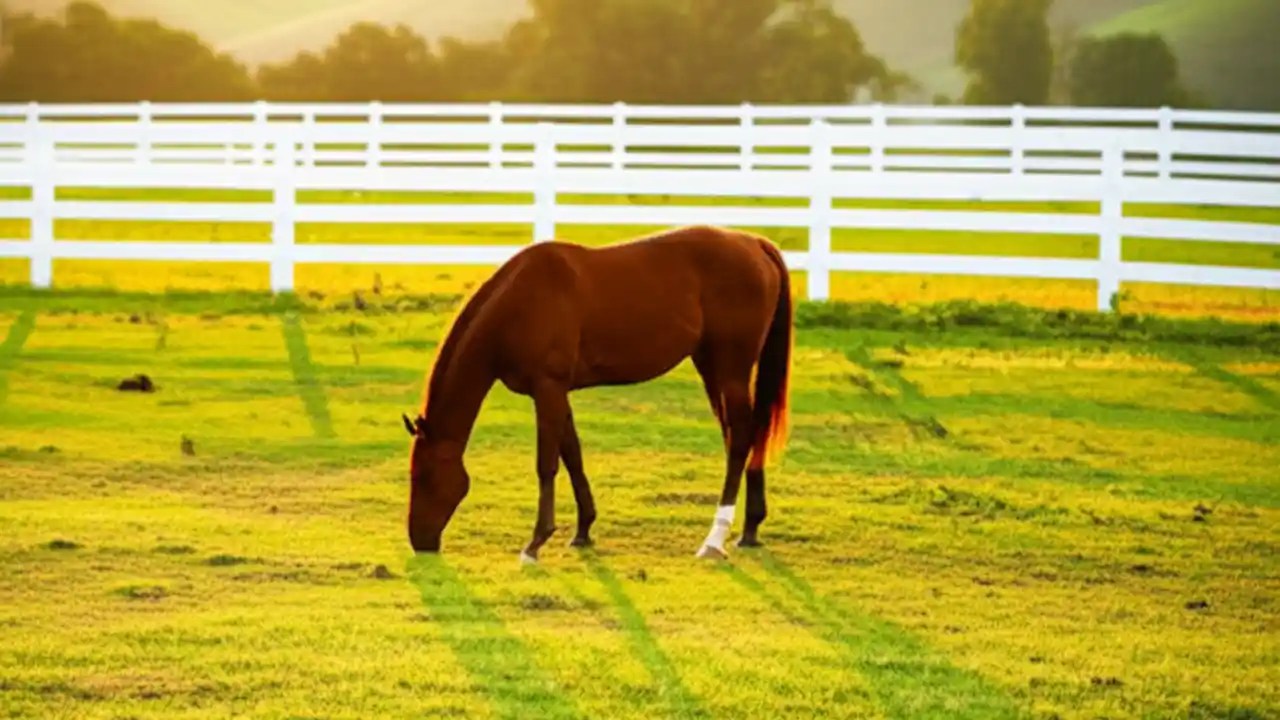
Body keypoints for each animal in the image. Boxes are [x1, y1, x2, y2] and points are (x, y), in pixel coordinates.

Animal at [400, 224, 793, 563]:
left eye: (423, 476)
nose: (419, 541)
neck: (521, 301)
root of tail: (756, 244)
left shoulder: (547, 388)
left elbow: (547, 463)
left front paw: (535, 542)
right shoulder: (557, 392)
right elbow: (572, 454)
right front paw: (583, 530)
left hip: (731, 370)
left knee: (740, 438)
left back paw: (714, 539)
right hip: (711, 366)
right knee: (741, 436)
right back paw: (749, 529)